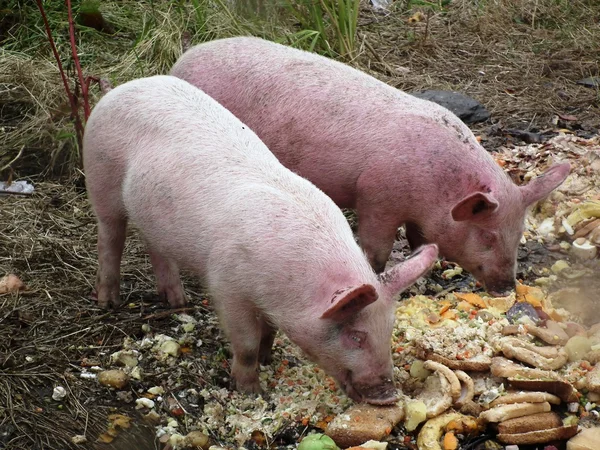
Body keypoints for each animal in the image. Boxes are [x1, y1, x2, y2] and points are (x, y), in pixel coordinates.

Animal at [82, 74, 438, 404]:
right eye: (355, 336)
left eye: (388, 330)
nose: (388, 395)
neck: (293, 284)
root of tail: (120, 87)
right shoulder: (227, 287)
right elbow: (247, 343)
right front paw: (251, 391)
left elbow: (269, 332)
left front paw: (269, 358)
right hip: (100, 175)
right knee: (110, 236)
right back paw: (108, 302)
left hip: (153, 215)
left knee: (156, 247)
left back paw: (177, 301)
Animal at [171, 37, 568, 296]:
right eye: (487, 235)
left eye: (519, 232)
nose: (507, 288)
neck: (435, 189)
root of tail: (181, 61)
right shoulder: (376, 197)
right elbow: (376, 251)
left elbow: (418, 241)